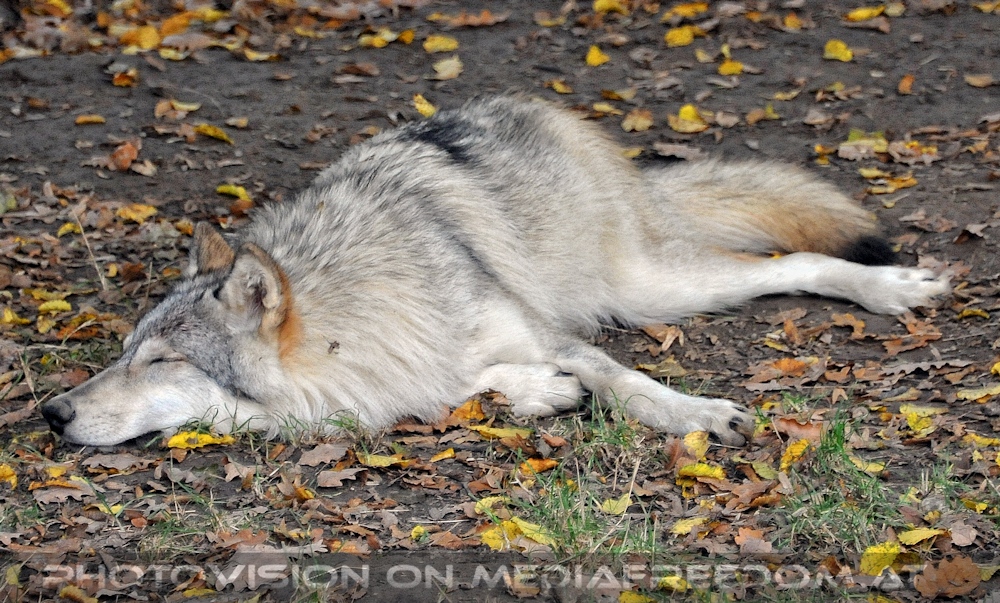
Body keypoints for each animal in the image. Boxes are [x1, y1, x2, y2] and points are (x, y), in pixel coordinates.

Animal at [41, 96, 949, 446]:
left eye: (164, 361)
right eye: (123, 353)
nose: (51, 412)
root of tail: (540, 109)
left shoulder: (544, 330)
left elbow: (629, 382)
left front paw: (694, 414)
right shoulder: (393, 376)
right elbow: (461, 389)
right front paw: (541, 393)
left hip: (652, 286)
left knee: (790, 259)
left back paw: (893, 289)